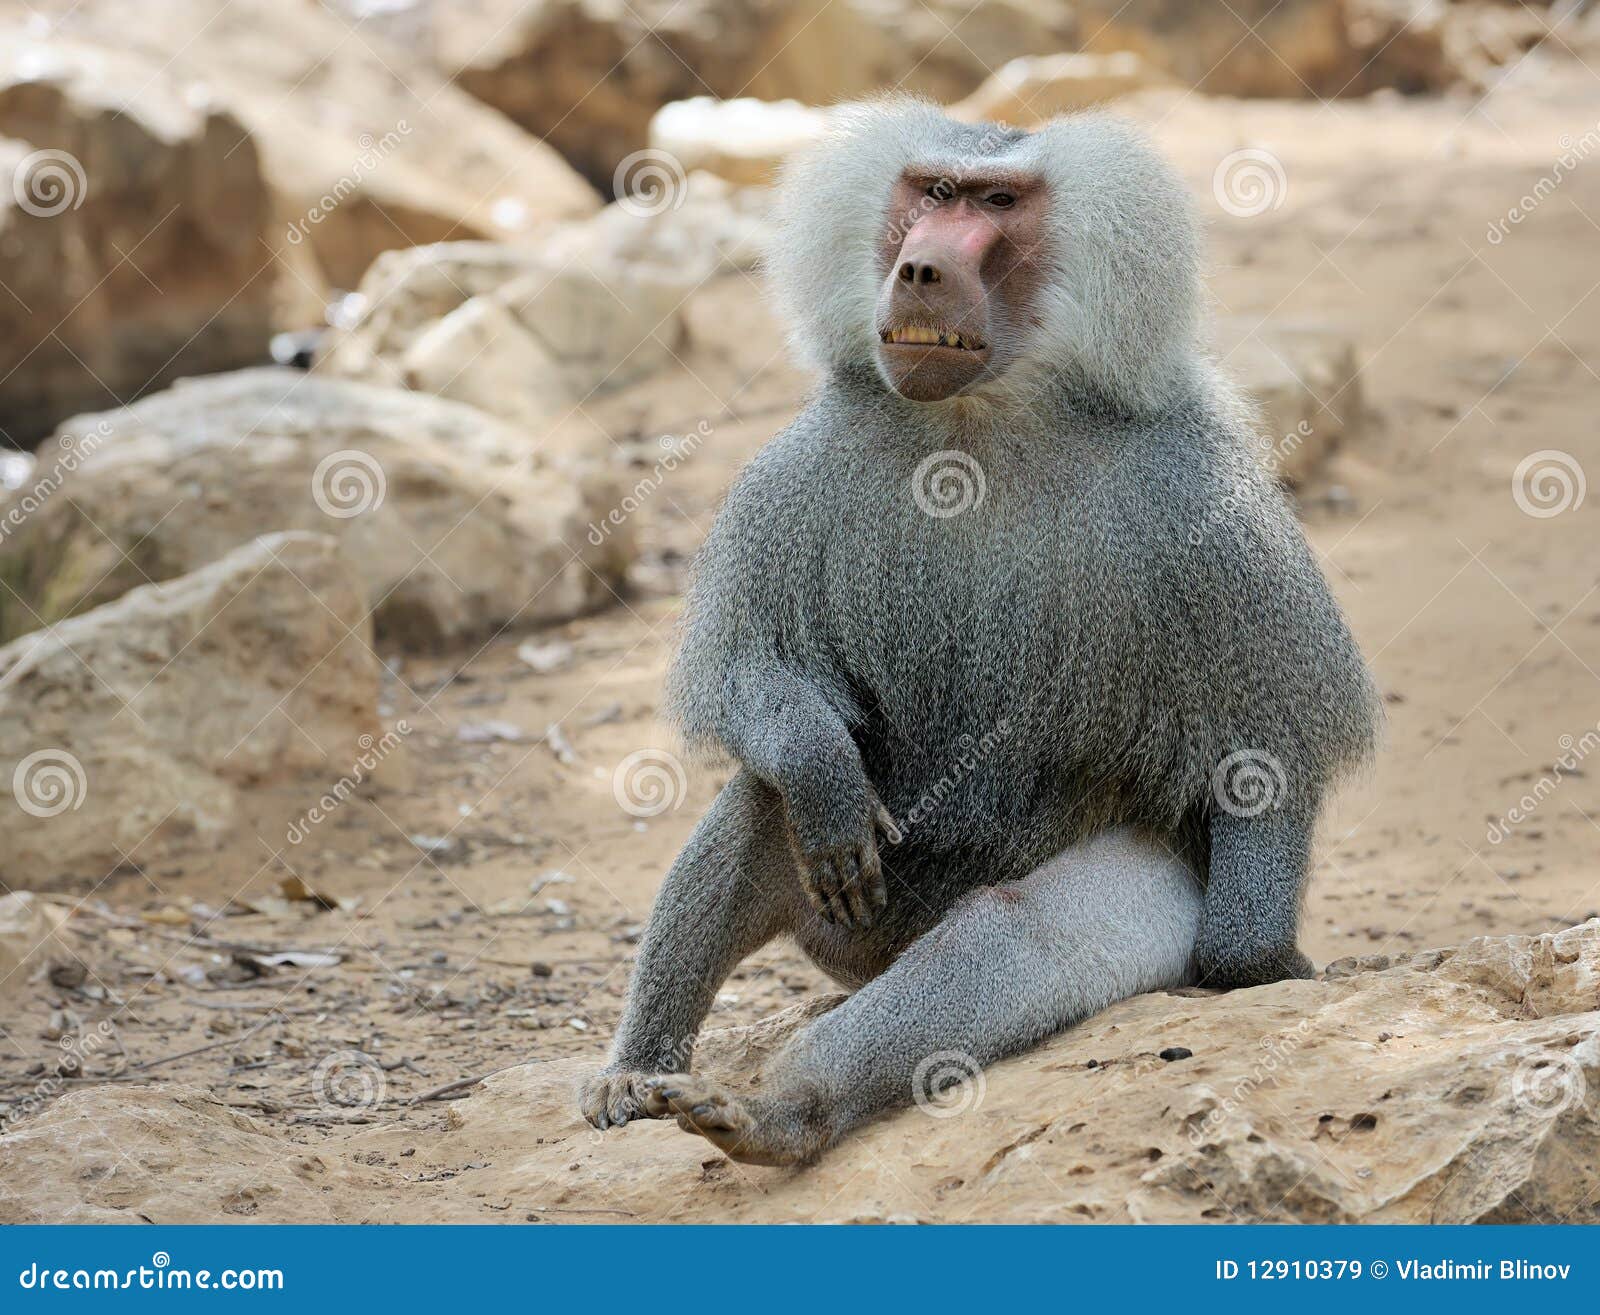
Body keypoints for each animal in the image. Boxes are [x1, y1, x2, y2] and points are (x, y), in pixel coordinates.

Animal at [576, 100, 1382, 1166]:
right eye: (932, 193)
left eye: (997, 204)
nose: (920, 266)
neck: (982, 419)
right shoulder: (804, 472)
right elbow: (757, 674)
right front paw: (817, 766)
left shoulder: (1194, 493)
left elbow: (1268, 750)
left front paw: (1260, 959)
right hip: (862, 910)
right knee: (768, 800)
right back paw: (644, 1069)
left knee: (1009, 933)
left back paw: (782, 1113)